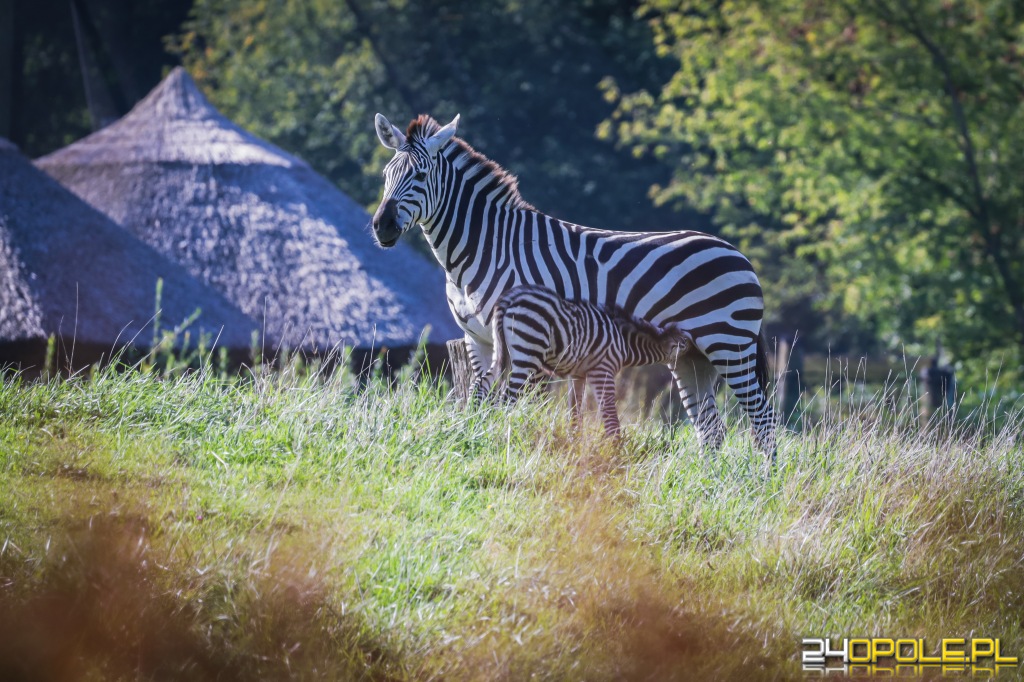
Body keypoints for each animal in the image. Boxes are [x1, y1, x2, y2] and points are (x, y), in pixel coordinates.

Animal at [479, 284, 694, 436]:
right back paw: (506, 430)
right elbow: (609, 412)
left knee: (485, 383)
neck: (626, 343)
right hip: (528, 351)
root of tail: (512, 297)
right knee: (508, 398)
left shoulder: (578, 374)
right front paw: (615, 449)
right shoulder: (603, 370)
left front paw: (574, 440)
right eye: (685, 345)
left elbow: (575, 411)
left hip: (502, 350)